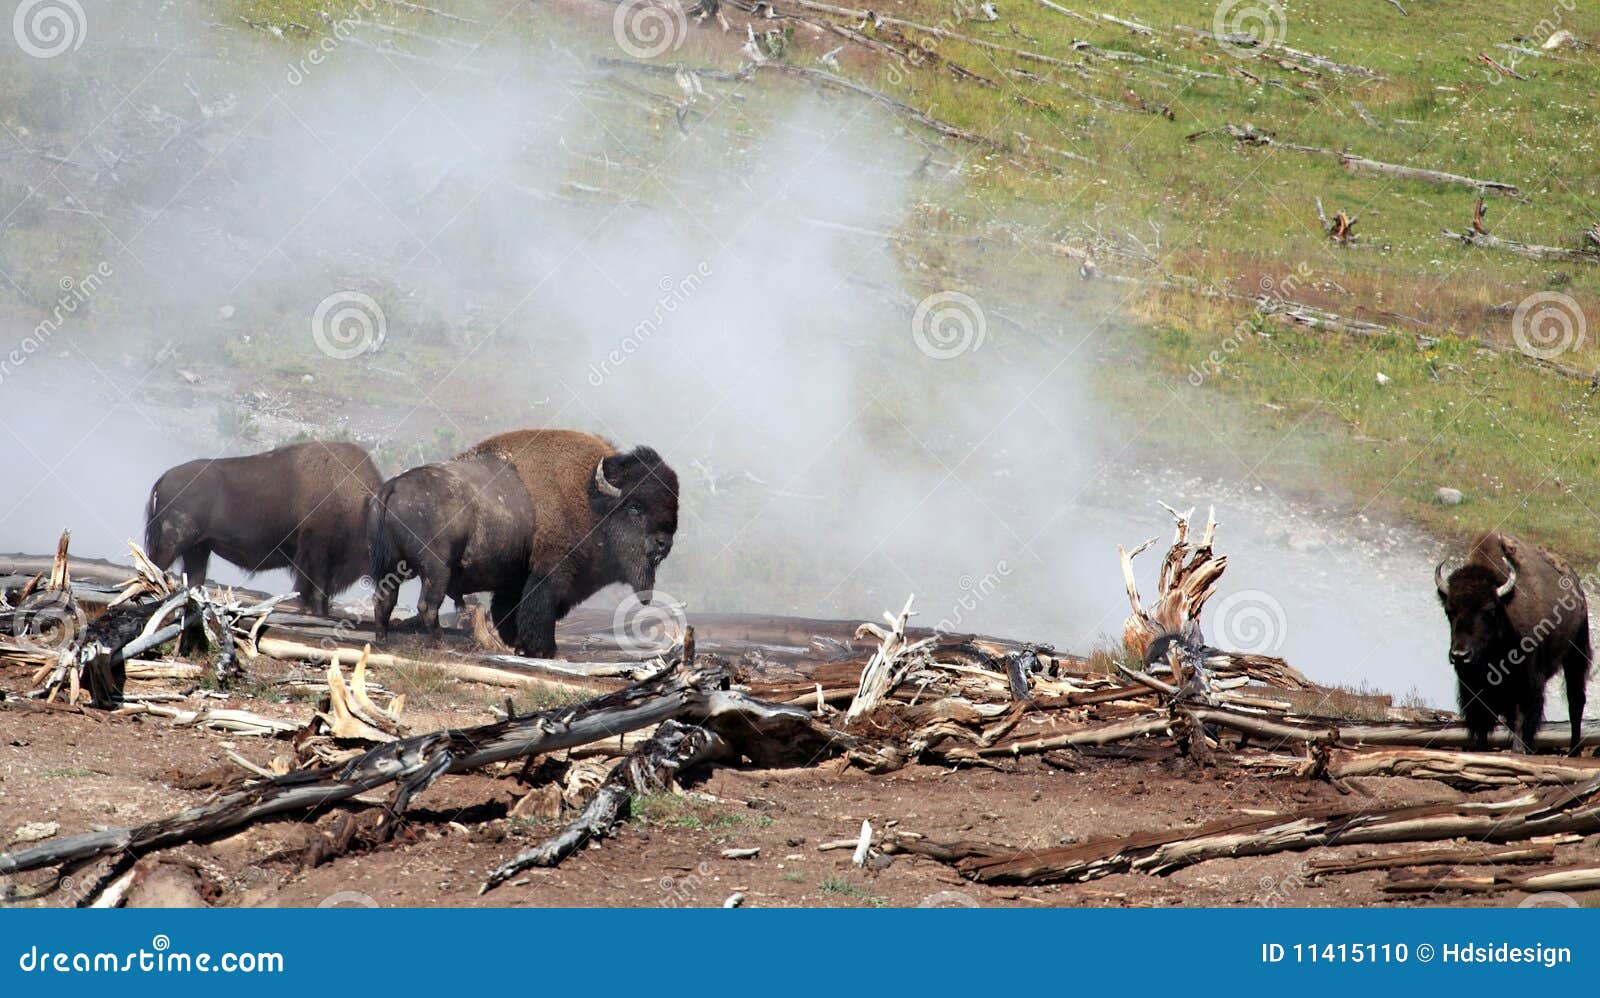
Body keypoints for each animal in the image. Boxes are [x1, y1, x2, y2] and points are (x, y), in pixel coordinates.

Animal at [145, 441, 382, 615]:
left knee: (194, 576)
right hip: (171, 545)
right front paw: (319, 612)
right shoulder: (318, 554)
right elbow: (317, 587)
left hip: (198, 548)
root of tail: (165, 477)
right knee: (155, 566)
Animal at [366, 451, 534, 641]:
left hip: (390, 568)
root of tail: (393, 485)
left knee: (384, 601)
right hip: (437, 570)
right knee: (427, 605)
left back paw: (383, 639)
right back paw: (440, 642)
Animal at [463, 429, 679, 657]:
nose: (664, 543)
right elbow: (538, 607)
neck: (590, 500)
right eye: (634, 507)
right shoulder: (550, 569)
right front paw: (544, 650)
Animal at [1436, 531, 1591, 754]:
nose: (1460, 655)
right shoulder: (1472, 685)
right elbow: (1481, 718)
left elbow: (1521, 716)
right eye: (1450, 611)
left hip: (1576, 655)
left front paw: (1518, 750)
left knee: (1575, 702)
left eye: (1489, 610)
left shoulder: (1527, 681)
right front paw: (1481, 748)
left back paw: (1572, 751)